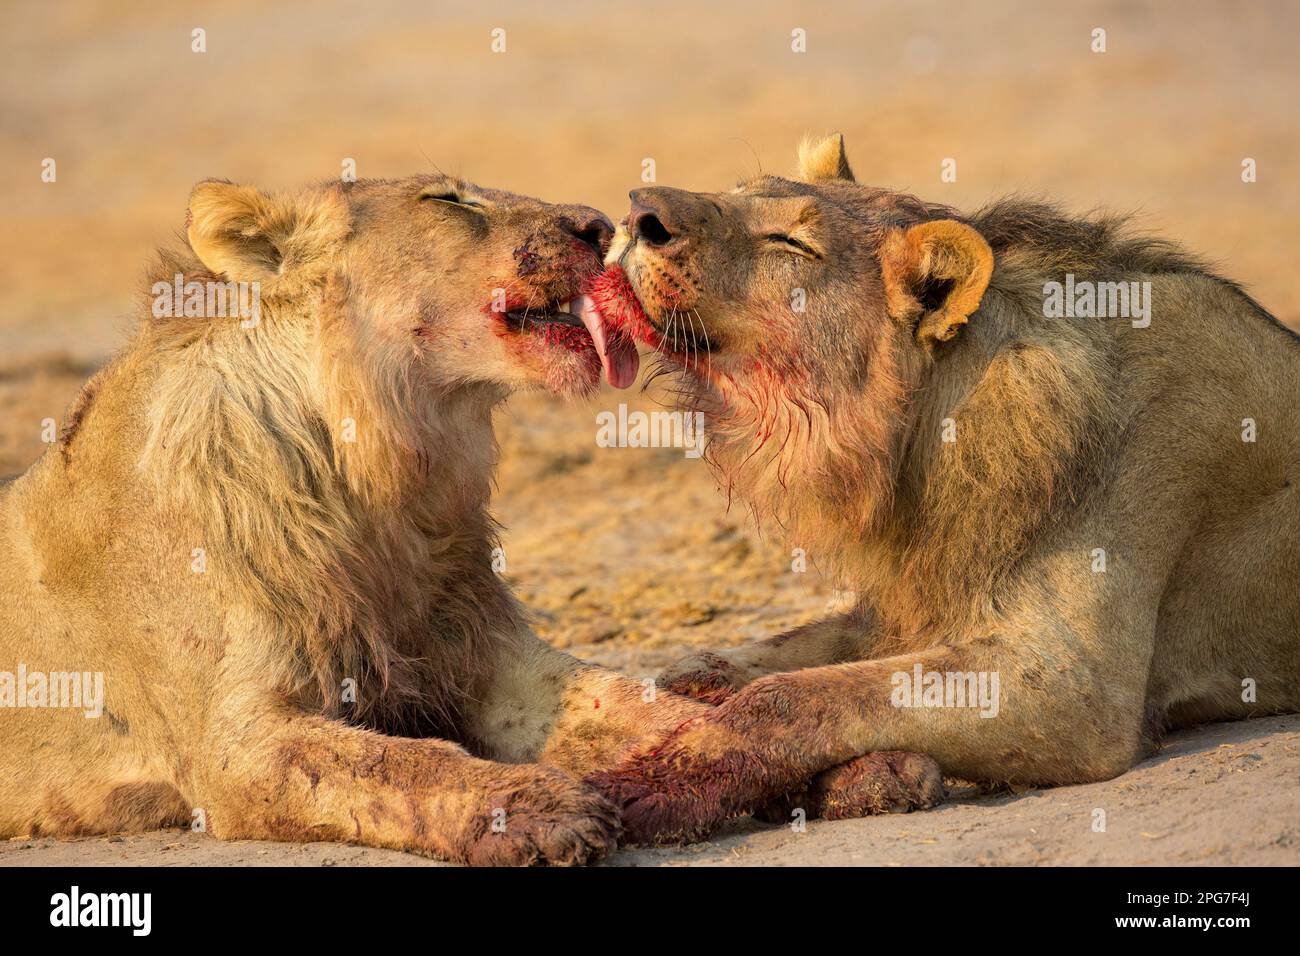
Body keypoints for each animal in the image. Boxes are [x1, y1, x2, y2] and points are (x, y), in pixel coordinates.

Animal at [0, 172, 712, 865]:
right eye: (448, 199)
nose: (601, 226)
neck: (382, 481)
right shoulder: (235, 747)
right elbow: (397, 765)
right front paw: (538, 807)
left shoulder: (483, 647)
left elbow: (617, 697)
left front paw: (718, 739)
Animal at [584, 134, 1300, 843]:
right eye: (736, 194)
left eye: (792, 244)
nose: (640, 209)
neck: (919, 449)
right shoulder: (910, 601)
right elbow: (797, 650)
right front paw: (699, 681)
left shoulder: (1075, 685)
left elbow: (791, 697)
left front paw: (650, 784)